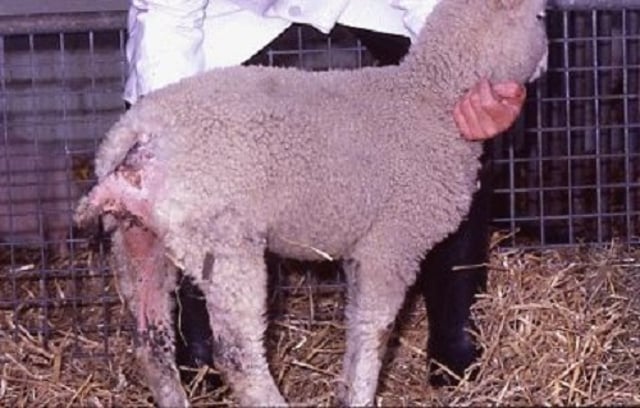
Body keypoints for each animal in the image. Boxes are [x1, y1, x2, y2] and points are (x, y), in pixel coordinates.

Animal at [75, 0, 548, 406]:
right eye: (543, 17)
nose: (544, 64)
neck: (431, 96)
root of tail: (135, 133)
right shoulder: (391, 245)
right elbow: (374, 332)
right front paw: (362, 393)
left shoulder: (362, 252)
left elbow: (356, 327)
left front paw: (347, 390)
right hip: (220, 242)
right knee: (237, 353)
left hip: (137, 240)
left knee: (151, 343)